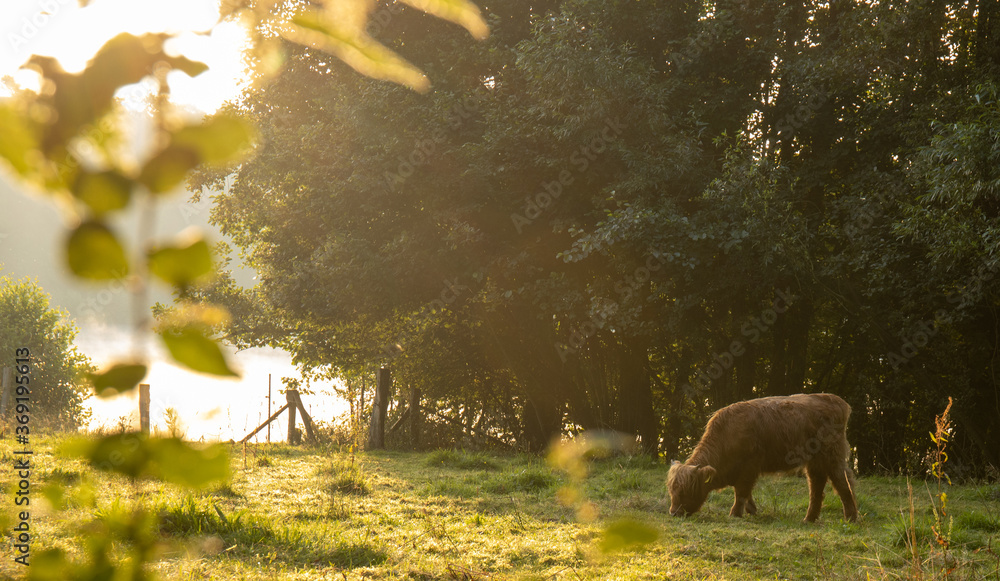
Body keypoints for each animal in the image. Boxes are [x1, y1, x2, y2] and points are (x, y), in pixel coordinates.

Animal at [667, 393, 859, 523]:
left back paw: (850, 518)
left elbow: (741, 491)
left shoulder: (750, 467)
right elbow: (745, 492)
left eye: (684, 491)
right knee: (817, 486)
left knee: (842, 484)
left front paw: (735, 514)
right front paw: (751, 510)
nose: (674, 512)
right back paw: (809, 519)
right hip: (815, 462)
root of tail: (834, 399)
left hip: (832, 457)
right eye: (672, 490)